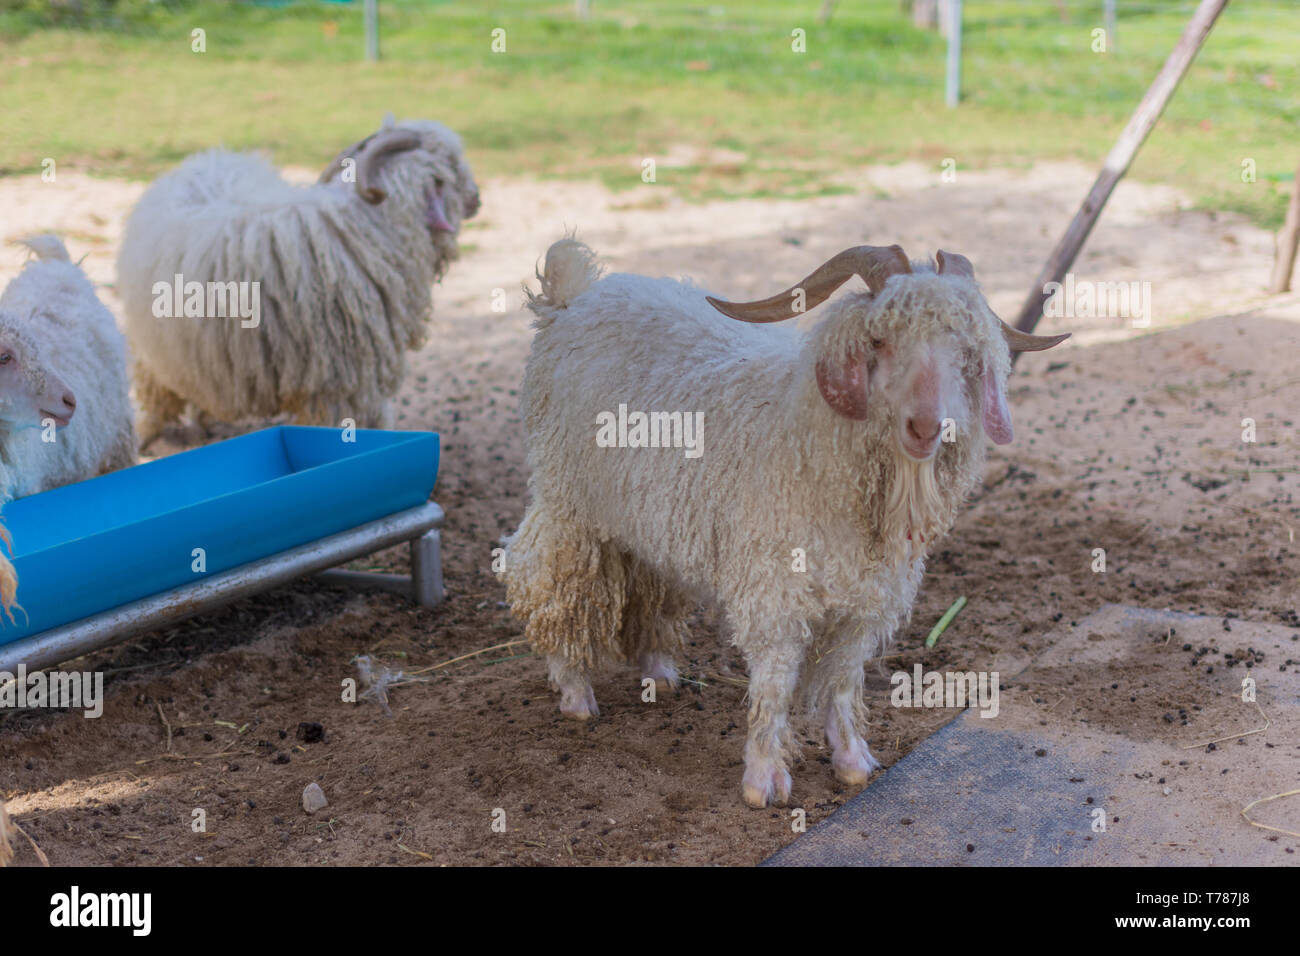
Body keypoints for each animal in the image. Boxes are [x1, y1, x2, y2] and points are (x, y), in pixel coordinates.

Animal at [115, 116, 480, 443]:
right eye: (451, 164)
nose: (477, 199)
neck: (367, 227)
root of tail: (206, 159)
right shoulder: (338, 384)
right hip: (155, 344)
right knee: (154, 387)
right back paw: (148, 434)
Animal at [503, 237, 1068, 808]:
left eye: (967, 354)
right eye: (880, 340)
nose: (927, 427)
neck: (809, 446)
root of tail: (572, 297)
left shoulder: (865, 601)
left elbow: (841, 679)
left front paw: (852, 761)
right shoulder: (773, 590)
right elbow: (774, 682)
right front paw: (763, 778)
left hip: (645, 511)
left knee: (651, 582)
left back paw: (658, 671)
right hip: (566, 499)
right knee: (541, 577)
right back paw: (574, 690)